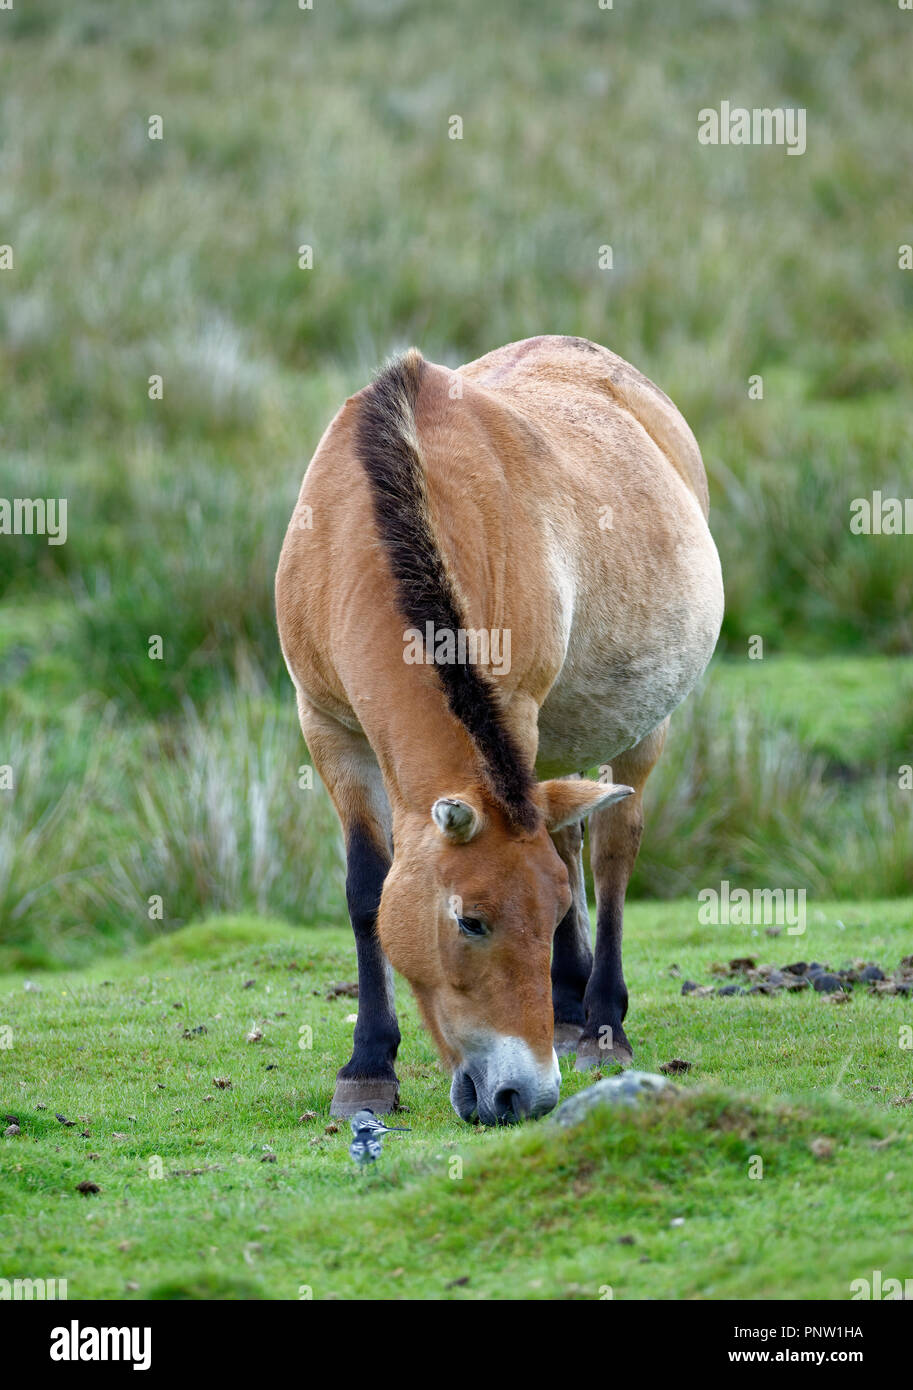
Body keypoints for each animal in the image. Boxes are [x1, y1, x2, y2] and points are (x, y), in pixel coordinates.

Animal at [276, 335, 723, 1125]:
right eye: (471, 922)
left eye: (544, 918)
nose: (525, 1094)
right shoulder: (326, 726)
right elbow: (366, 889)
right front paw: (368, 1067)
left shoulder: (514, 708)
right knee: (570, 838)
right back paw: (571, 1008)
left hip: (641, 731)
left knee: (612, 852)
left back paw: (600, 1023)